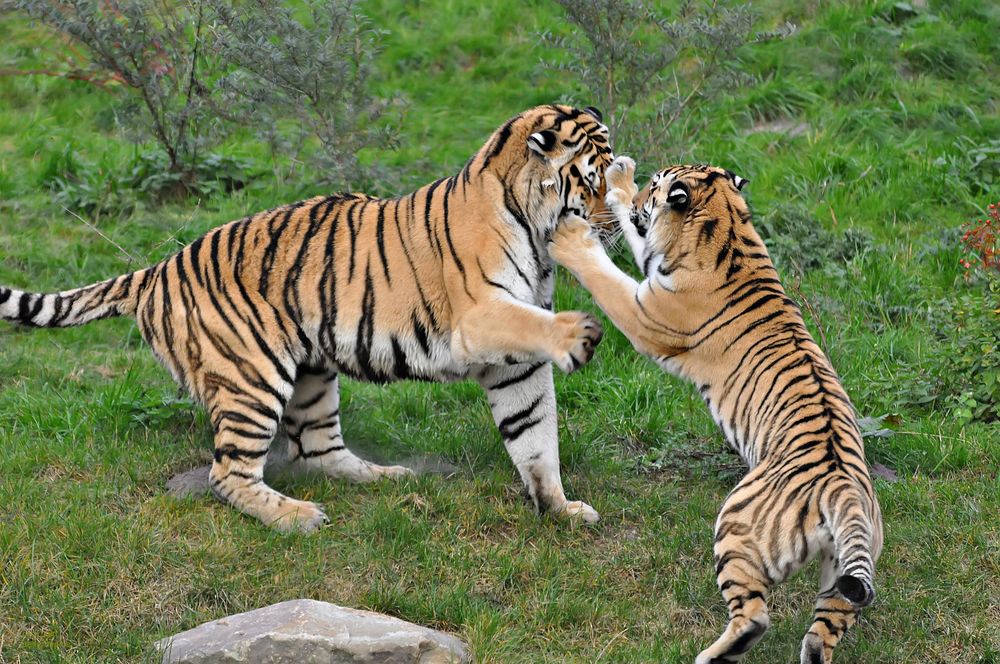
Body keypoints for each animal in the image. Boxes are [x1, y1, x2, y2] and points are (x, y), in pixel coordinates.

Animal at [0, 104, 614, 533]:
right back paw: (295, 518)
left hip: (312, 371)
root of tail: (157, 269)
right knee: (229, 472)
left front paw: (558, 508)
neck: (535, 230)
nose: (624, 216)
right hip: (250, 378)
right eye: (592, 179)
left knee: (317, 448)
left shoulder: (515, 365)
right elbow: (533, 351)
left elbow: (534, 436)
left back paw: (384, 477)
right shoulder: (479, 320)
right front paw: (579, 333)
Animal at [548, 156, 883, 664]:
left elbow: (605, 271)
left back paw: (708, 656)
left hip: (736, 527)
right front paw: (620, 182)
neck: (729, 227)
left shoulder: (643, 309)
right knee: (821, 634)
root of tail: (840, 488)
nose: (642, 187)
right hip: (841, 579)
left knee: (754, 617)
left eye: (655, 185)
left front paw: (572, 235)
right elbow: (634, 235)